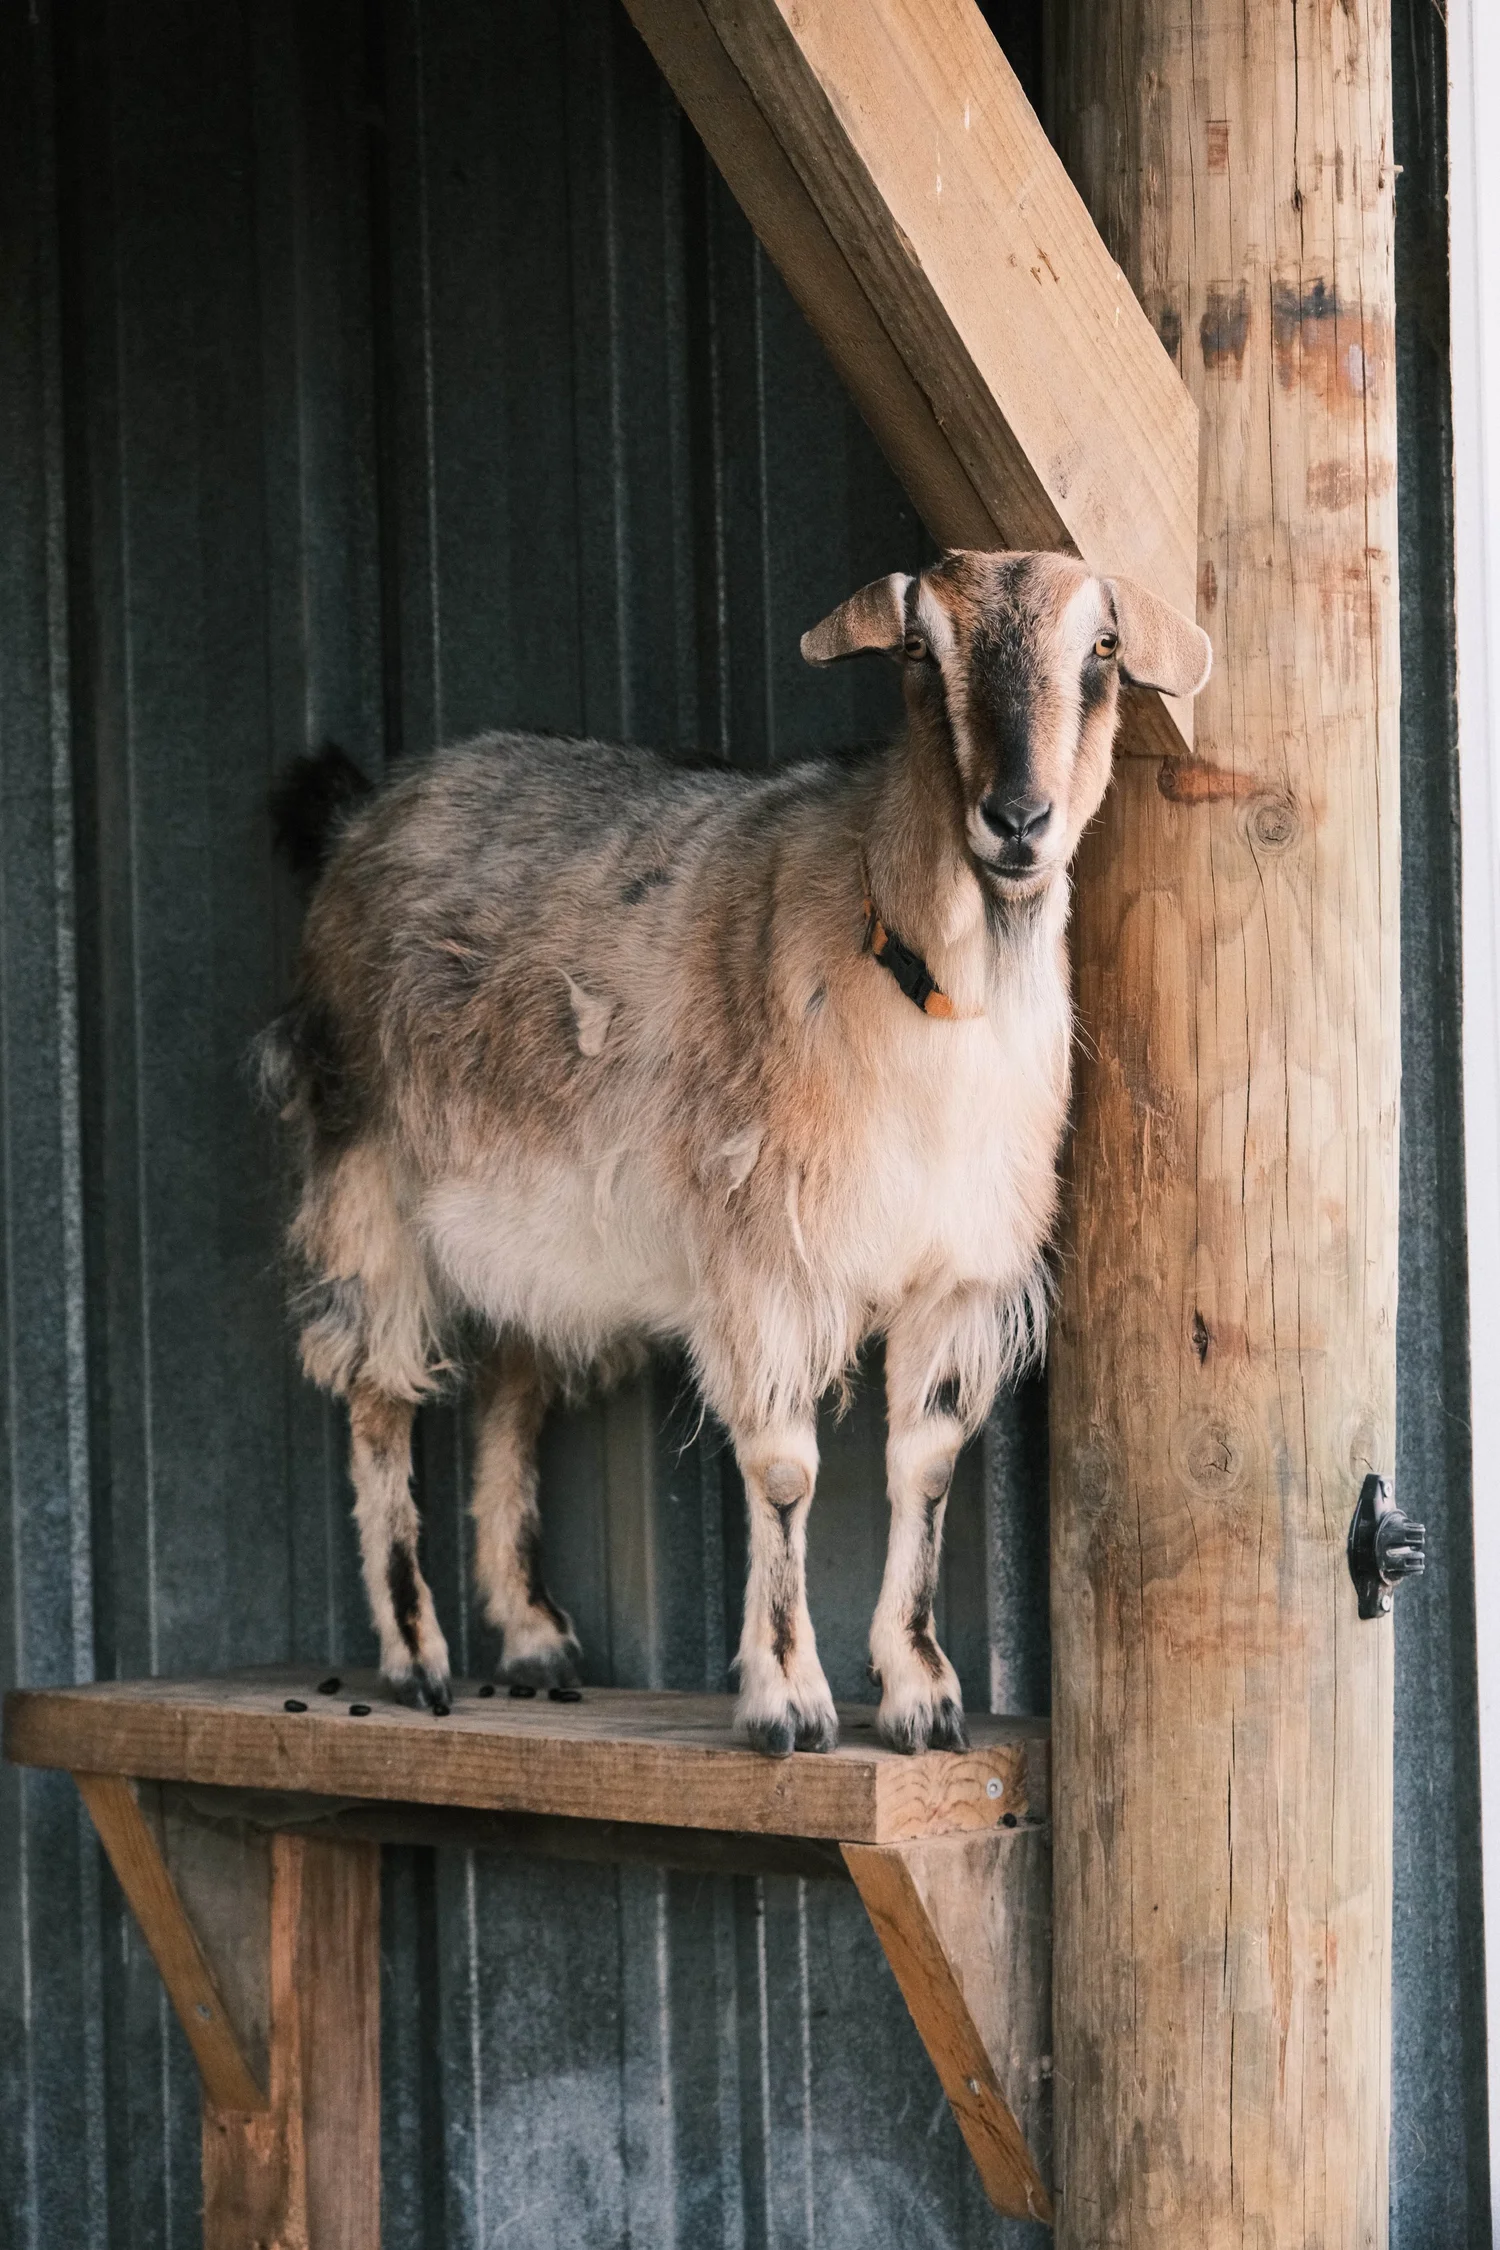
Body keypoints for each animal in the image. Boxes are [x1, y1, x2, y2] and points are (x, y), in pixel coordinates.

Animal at [259, 550, 1210, 1755]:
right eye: (918, 650)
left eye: (1104, 650)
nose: (1017, 818)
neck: (922, 986)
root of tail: (363, 816)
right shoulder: (767, 1262)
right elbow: (787, 1471)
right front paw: (788, 1699)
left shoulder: (953, 1271)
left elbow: (927, 1466)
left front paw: (922, 1693)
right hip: (363, 1168)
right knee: (379, 1394)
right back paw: (417, 1656)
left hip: (528, 1224)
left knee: (513, 1388)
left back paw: (531, 1640)